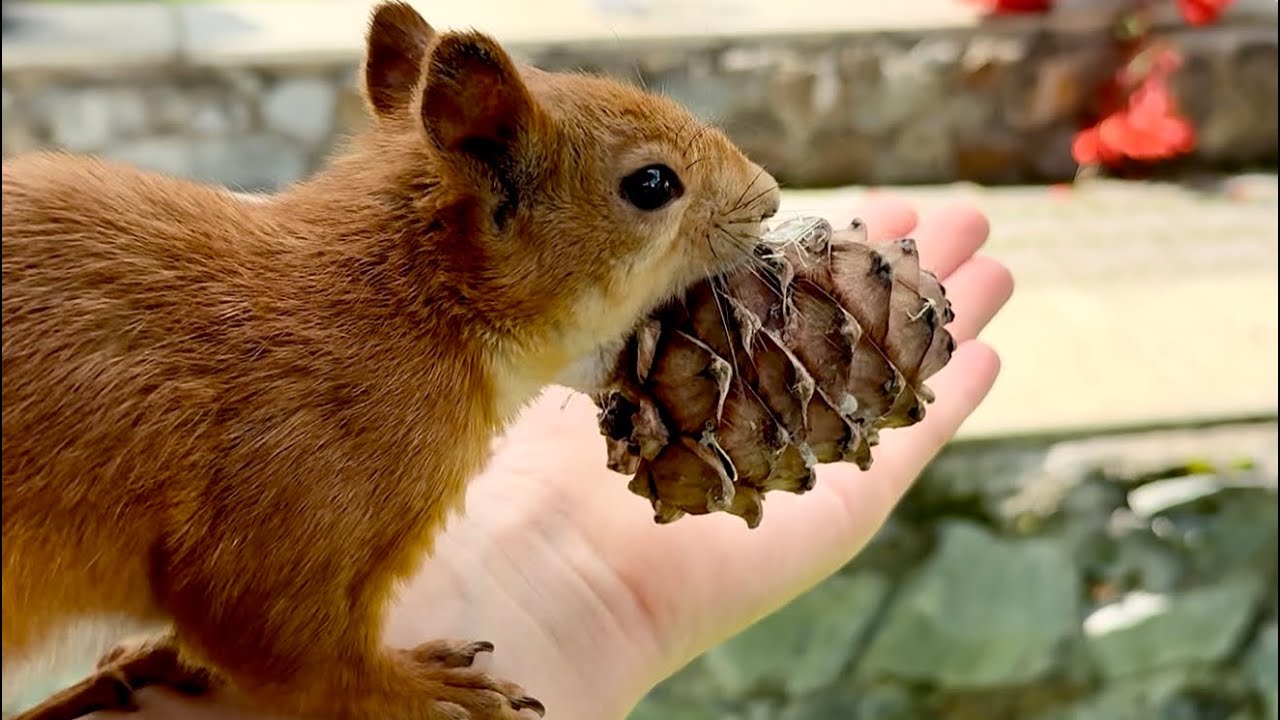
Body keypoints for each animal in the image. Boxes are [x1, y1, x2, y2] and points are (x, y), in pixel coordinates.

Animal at [0, 2, 781, 719]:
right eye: (653, 184)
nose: (772, 196)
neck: (413, 309)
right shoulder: (291, 498)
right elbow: (289, 647)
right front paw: (425, 690)